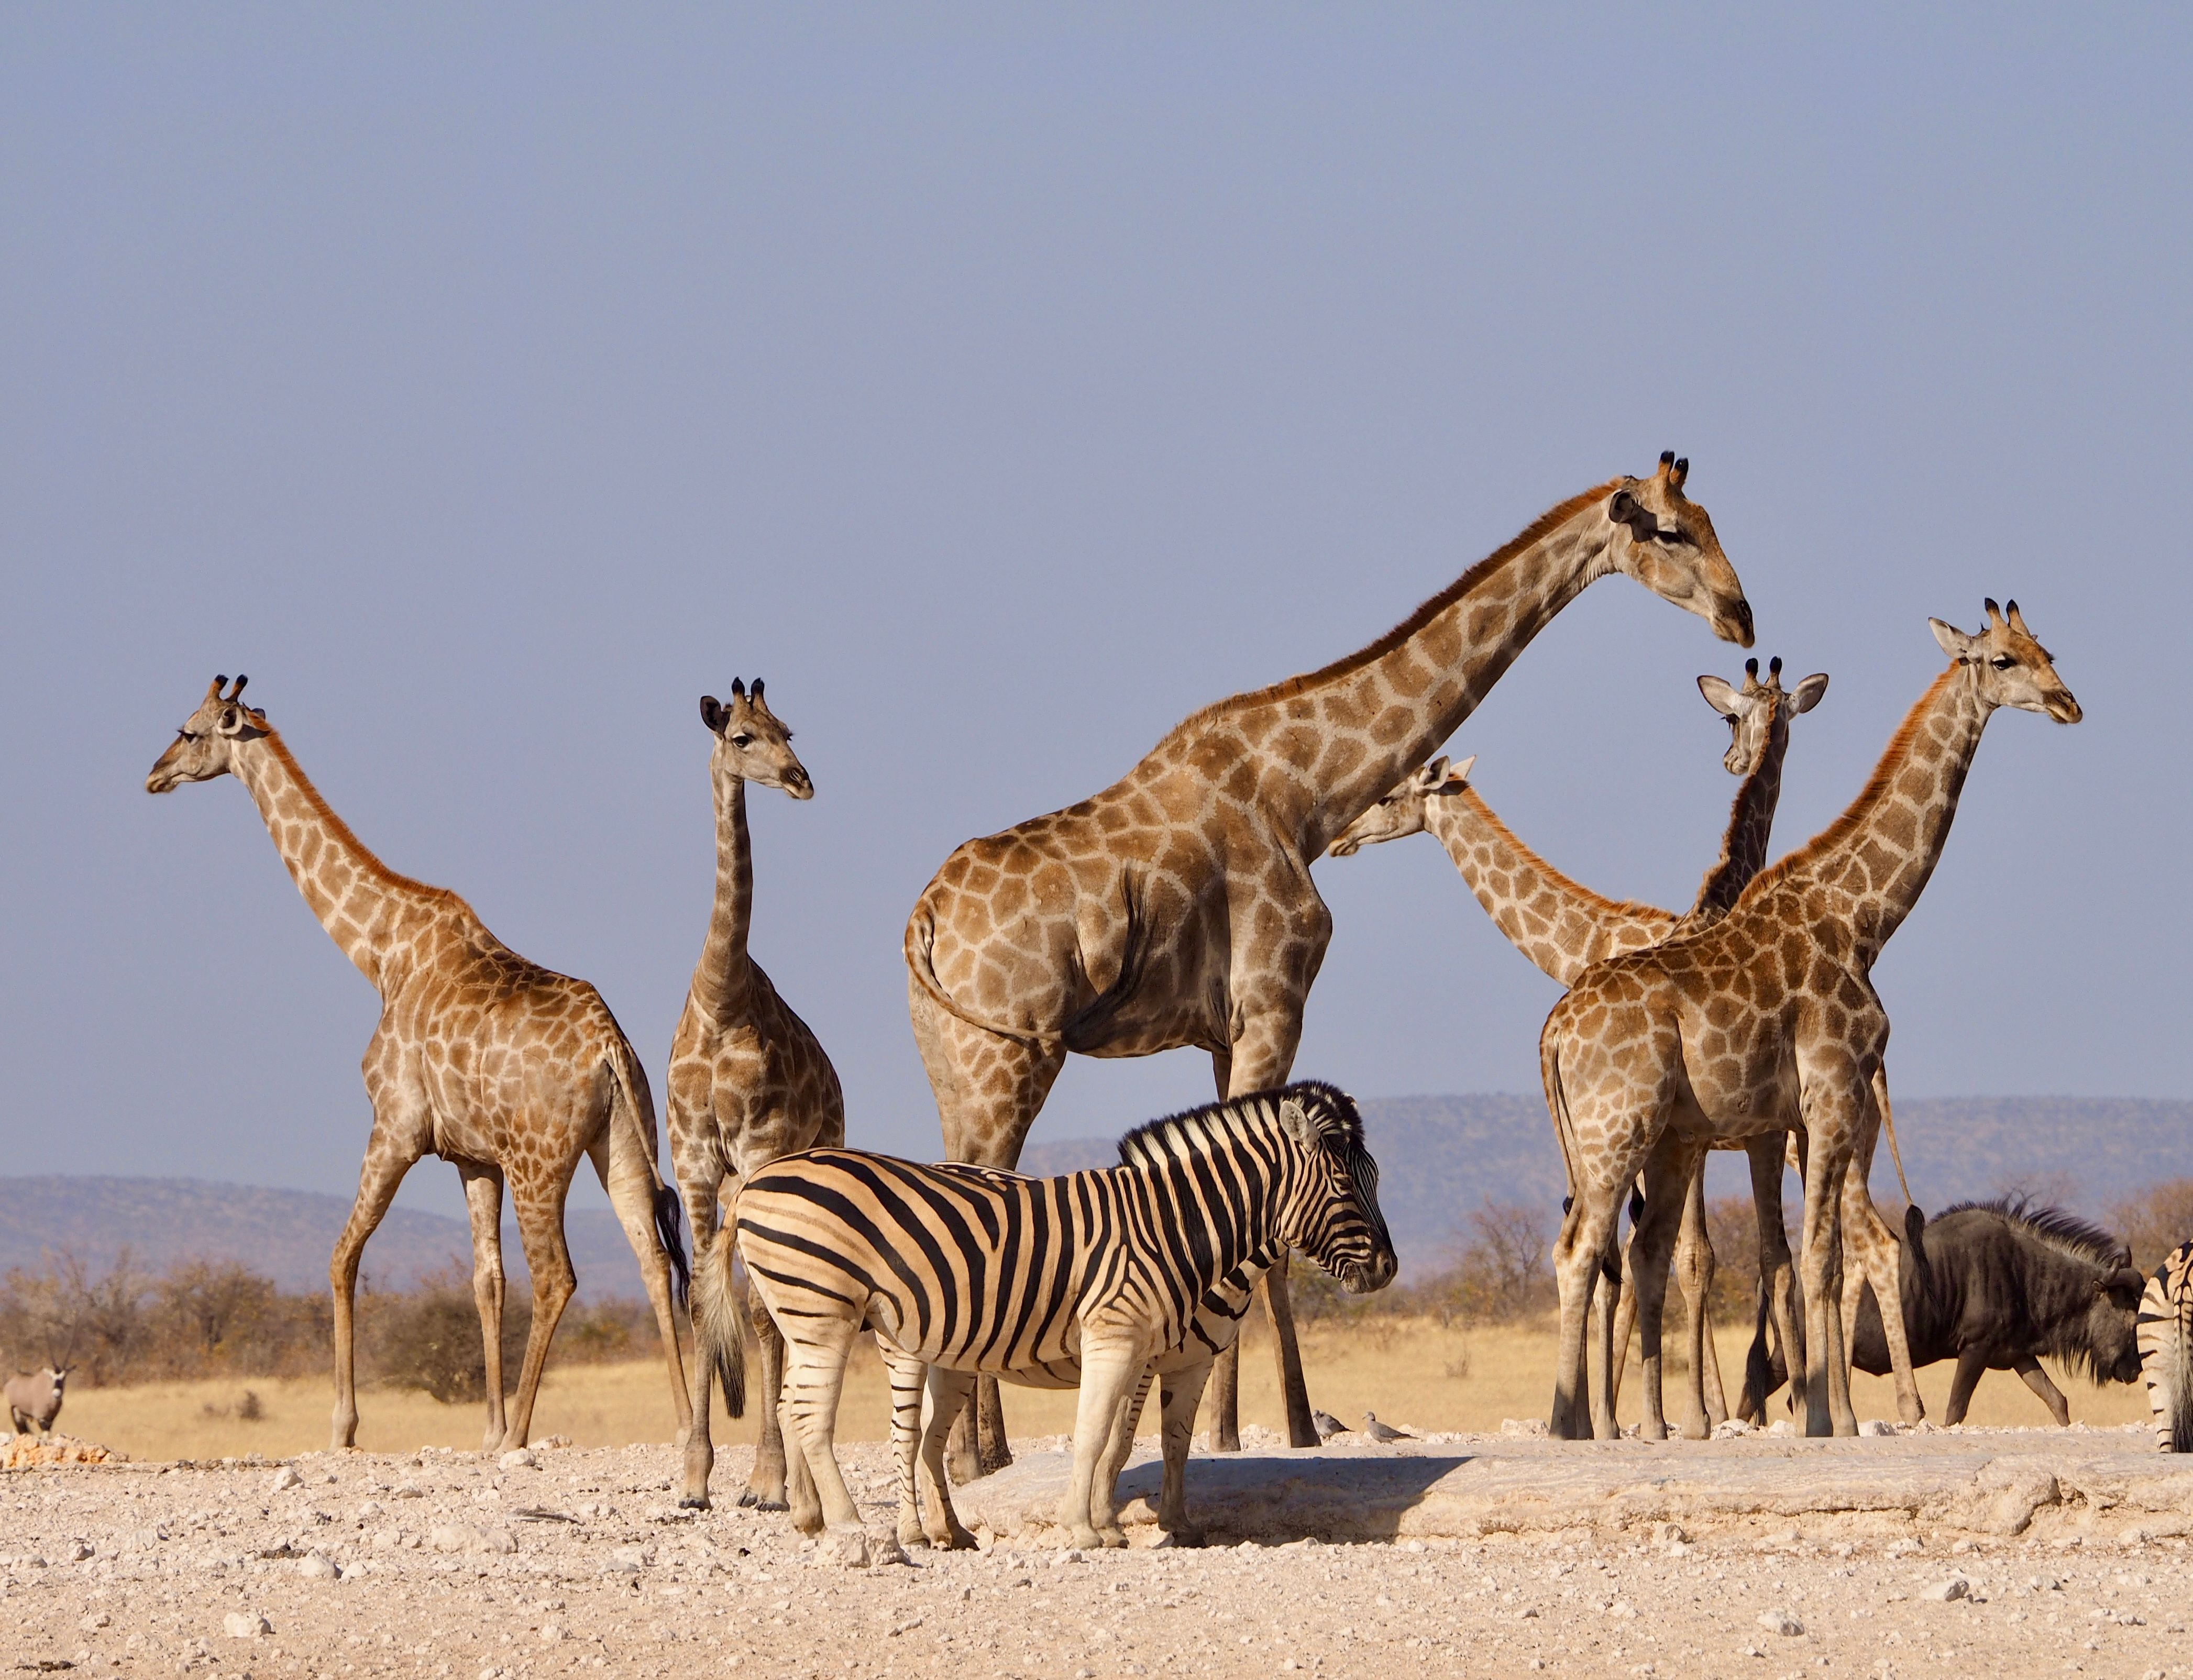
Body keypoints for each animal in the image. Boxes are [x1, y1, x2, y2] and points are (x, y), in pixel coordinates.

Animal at [146, 676, 694, 1453]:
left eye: (188, 732)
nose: (153, 776)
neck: (379, 950)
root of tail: (611, 1050)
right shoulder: (473, 1157)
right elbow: (486, 1281)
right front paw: (486, 1429)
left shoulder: (395, 1126)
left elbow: (342, 1255)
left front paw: (345, 1427)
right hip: (614, 1141)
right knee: (650, 1258)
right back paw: (683, 1427)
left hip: (541, 1161)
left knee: (558, 1277)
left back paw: (525, 1434)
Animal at [701, 1081, 1395, 1559]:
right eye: (1343, 1186)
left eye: (1375, 1177)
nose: (1387, 1269)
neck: (1169, 1226)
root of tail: (756, 1182)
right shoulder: (1117, 1336)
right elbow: (1092, 1436)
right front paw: (1084, 1529)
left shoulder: (1156, 1349)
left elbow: (1139, 1441)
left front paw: (1147, 1525)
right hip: (835, 1316)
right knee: (827, 1418)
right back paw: (869, 1531)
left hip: (833, 1320)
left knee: (818, 1411)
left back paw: (841, 1521)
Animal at [906, 453, 1753, 1471]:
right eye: (1671, 531)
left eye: (1710, 520)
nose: (1741, 616)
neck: (1302, 790)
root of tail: (924, 920)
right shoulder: (1275, 1002)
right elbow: (1258, 1218)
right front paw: (1243, 1429)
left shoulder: (1226, 1030)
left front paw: (1277, 1422)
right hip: (1010, 1057)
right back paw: (971, 1452)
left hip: (956, 1060)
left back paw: (978, 1449)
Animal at [1330, 661, 1927, 1434]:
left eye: (1388, 792)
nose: (1340, 834)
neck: (1587, 939)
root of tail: (1882, 1070)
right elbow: (1663, 1257)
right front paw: (1640, 1415)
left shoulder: (1687, 1137)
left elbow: (1685, 1258)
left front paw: (1644, 1417)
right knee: (1833, 1247)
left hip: (1813, 1134)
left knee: (1864, 1245)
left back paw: (1880, 1409)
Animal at [1539, 602, 2080, 1439]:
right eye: (1999, 660)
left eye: (2043, 650)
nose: (2065, 703)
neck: (1862, 916)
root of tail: (1554, 1030)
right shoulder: (1830, 1094)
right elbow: (1821, 1255)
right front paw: (1829, 1418)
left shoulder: (1791, 1116)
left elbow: (1803, 1255)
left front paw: (1822, 1412)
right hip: (1615, 1131)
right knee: (1579, 1252)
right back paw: (1573, 1424)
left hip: (1661, 1139)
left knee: (1636, 1255)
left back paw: (1629, 1423)